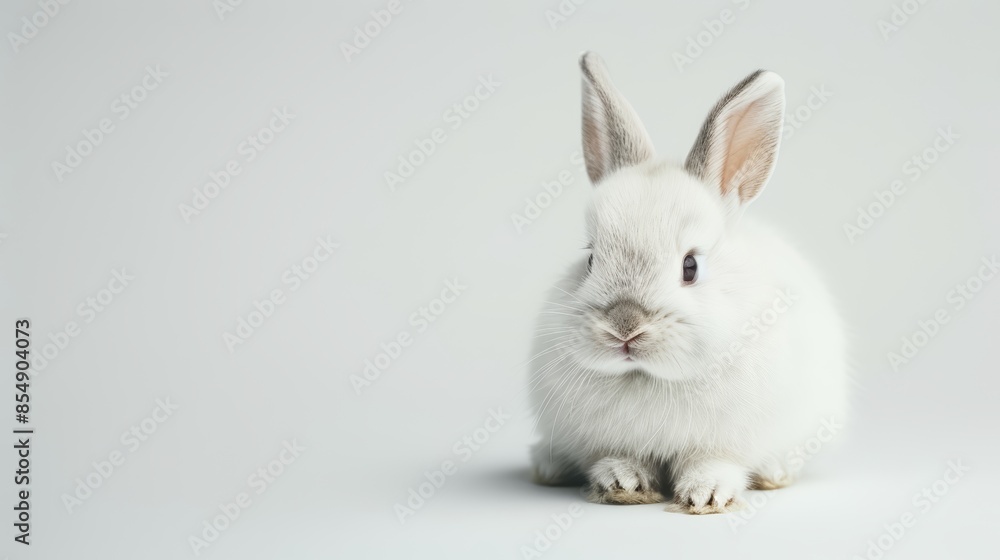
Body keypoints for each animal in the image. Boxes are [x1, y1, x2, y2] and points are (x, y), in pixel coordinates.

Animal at [528, 52, 849, 514]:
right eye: (590, 259)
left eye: (690, 266)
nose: (625, 327)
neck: (648, 377)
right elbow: (617, 458)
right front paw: (622, 483)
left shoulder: (724, 445)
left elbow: (714, 464)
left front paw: (705, 495)